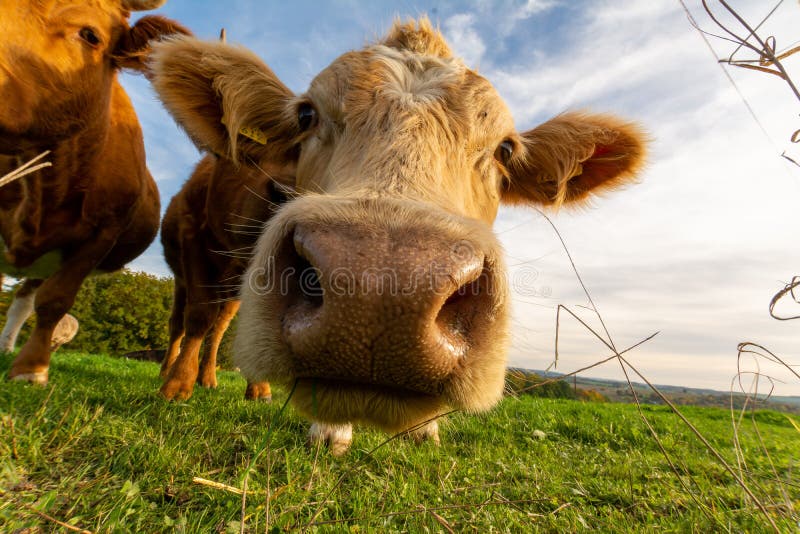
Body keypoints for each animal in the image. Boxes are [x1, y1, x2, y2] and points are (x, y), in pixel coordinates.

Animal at [159, 153, 289, 401]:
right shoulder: (193, 237)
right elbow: (199, 316)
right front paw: (177, 384)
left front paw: (259, 389)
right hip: (181, 281)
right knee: (178, 324)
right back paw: (167, 369)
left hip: (230, 296)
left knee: (218, 330)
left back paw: (207, 378)